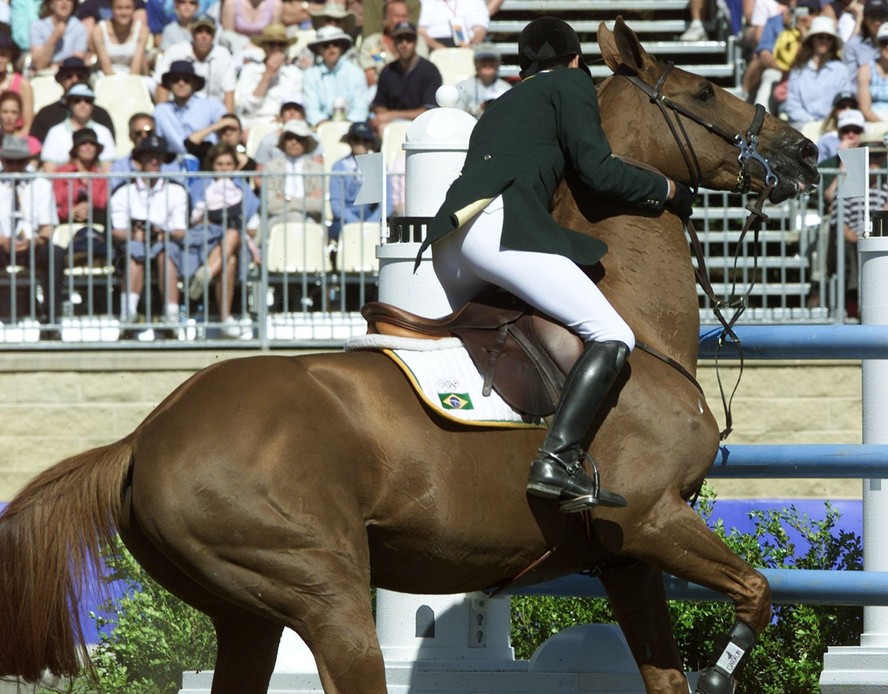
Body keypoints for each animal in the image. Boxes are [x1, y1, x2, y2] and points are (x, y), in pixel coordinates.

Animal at [0, 19, 819, 694]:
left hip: (248, 614)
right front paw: (725, 669)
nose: (806, 152)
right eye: (704, 90)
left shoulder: (628, 556)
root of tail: (144, 436)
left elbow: (671, 671)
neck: (642, 328)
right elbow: (758, 591)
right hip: (323, 594)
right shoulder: (654, 519)